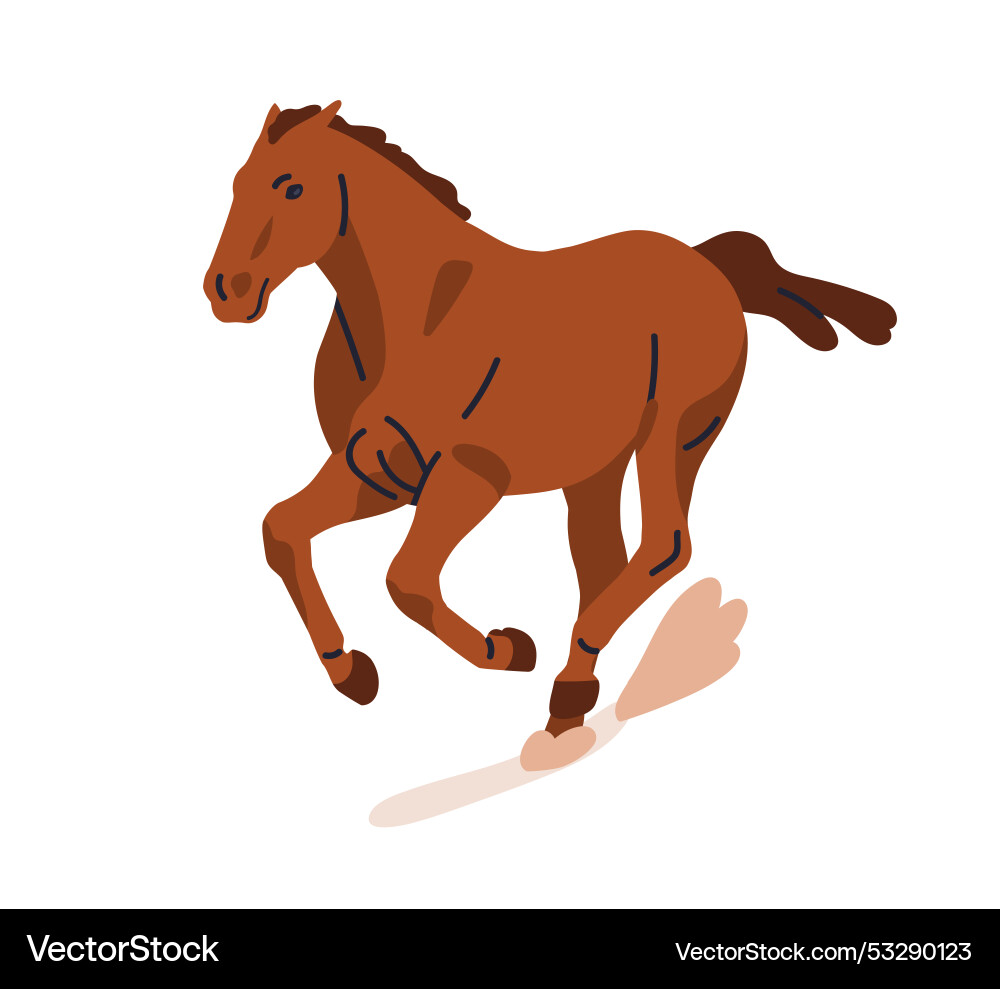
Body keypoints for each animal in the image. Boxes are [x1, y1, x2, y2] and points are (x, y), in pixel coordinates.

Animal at [204, 100, 895, 756]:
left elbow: (409, 582)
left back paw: (563, 689)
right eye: (237, 181)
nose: (226, 291)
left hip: (677, 433)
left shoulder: (471, 473)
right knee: (605, 560)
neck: (415, 314)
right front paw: (352, 671)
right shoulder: (379, 472)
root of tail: (706, 264)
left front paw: (508, 648)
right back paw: (576, 694)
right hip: (597, 468)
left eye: (293, 187)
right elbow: (282, 531)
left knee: (665, 545)